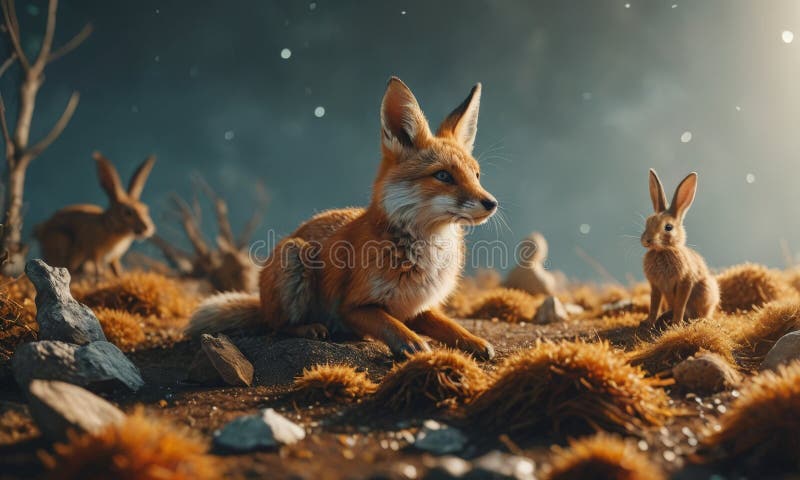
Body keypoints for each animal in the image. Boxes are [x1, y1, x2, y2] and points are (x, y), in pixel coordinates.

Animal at [187, 77, 497, 359]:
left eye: (476, 175)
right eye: (443, 176)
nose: (492, 203)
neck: (424, 254)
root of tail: (261, 303)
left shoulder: (418, 307)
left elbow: (450, 327)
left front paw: (474, 341)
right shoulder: (352, 306)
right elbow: (389, 323)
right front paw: (411, 343)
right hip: (294, 256)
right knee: (277, 326)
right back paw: (311, 328)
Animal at [641, 169, 719, 325]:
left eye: (668, 227)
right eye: (647, 222)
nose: (647, 240)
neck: (663, 251)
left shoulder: (685, 281)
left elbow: (681, 304)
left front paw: (676, 323)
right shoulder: (655, 285)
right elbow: (654, 304)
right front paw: (648, 322)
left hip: (706, 290)